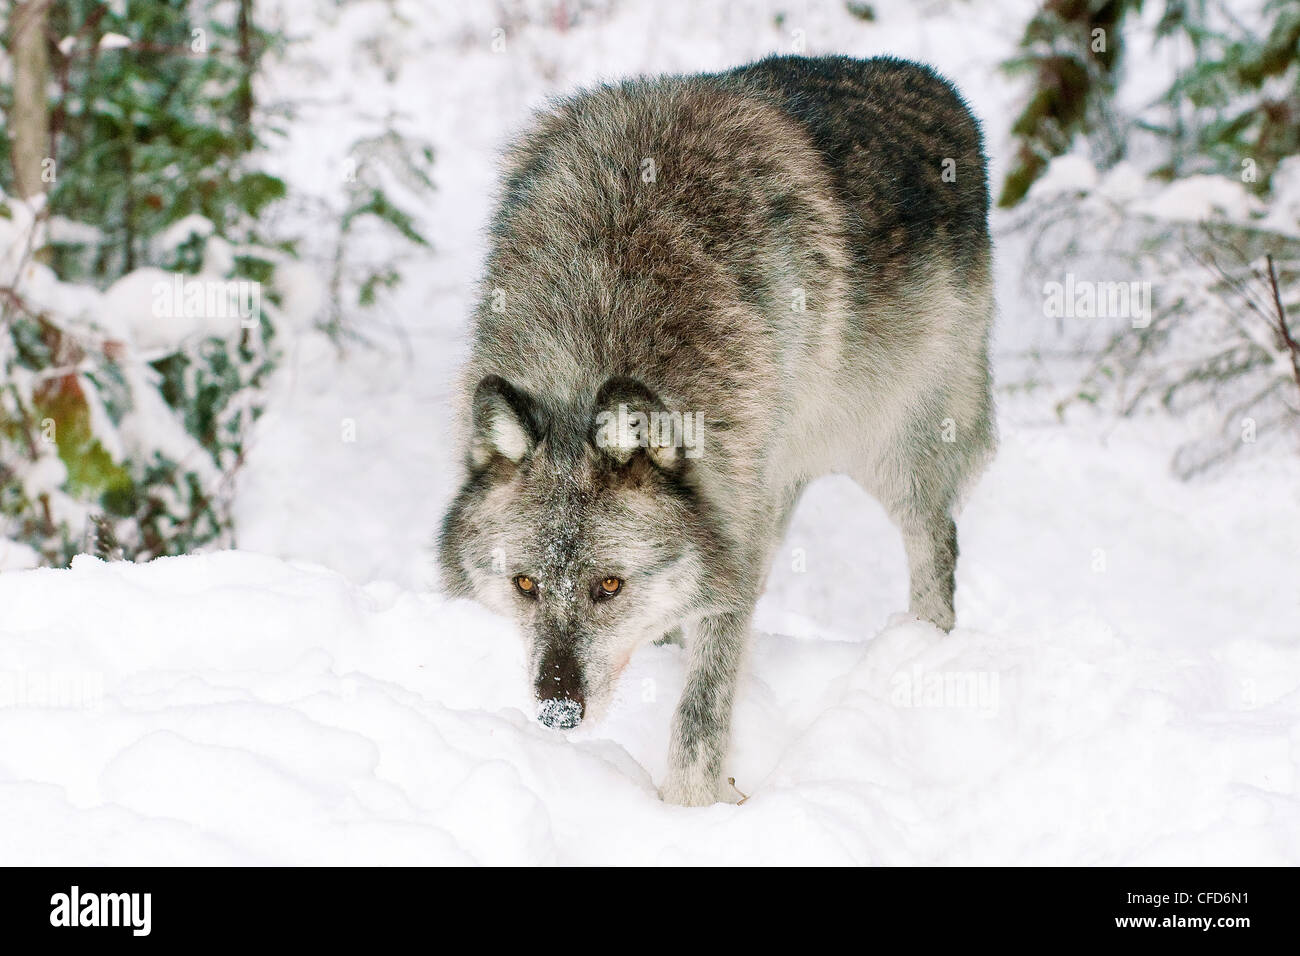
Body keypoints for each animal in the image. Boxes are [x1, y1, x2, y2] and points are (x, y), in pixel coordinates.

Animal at [436, 54, 993, 806]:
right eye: (524, 585)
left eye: (609, 586)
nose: (557, 712)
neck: (605, 313)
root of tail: (936, 85)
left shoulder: (736, 508)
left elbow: (705, 695)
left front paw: (690, 804)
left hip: (893, 454)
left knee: (934, 542)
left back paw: (923, 654)